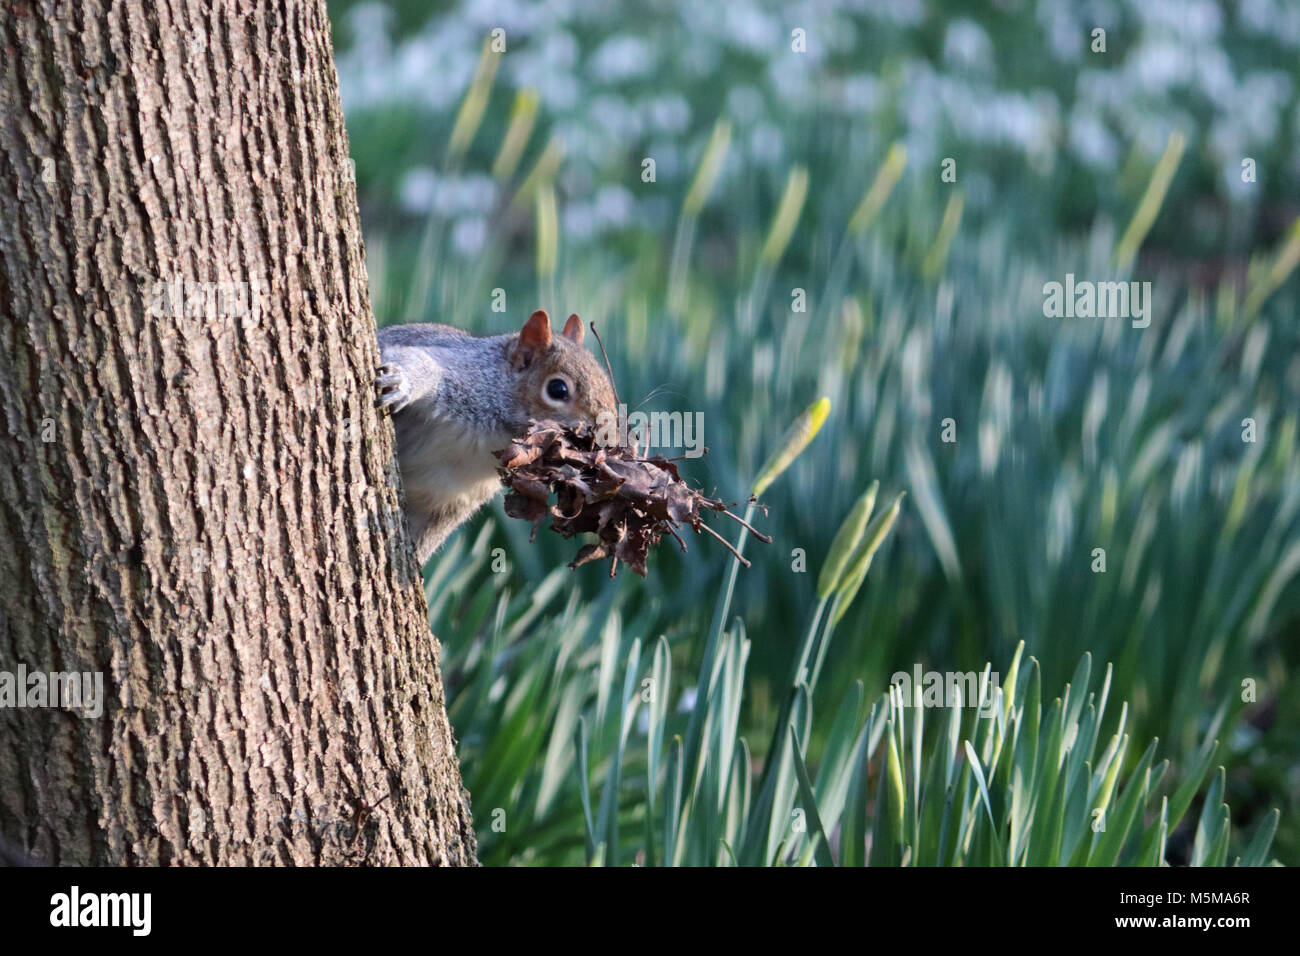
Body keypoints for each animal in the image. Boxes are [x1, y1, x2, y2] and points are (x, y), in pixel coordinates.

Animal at [375, 309, 617, 563]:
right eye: (557, 389)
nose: (609, 439)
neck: (498, 435)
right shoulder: (464, 373)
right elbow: (417, 360)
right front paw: (403, 382)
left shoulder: (446, 505)